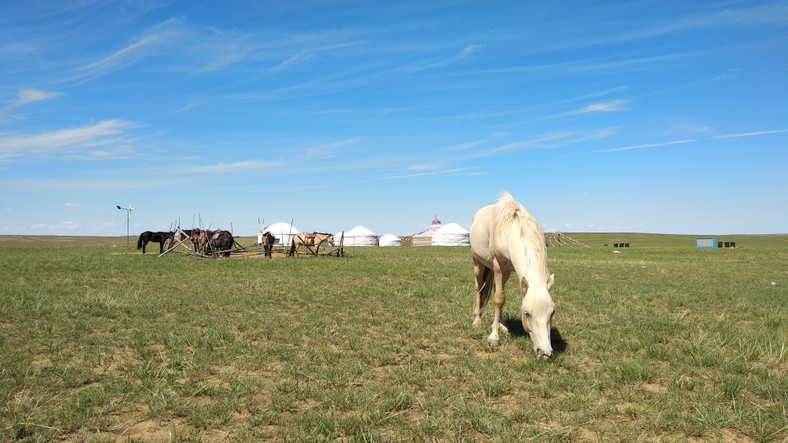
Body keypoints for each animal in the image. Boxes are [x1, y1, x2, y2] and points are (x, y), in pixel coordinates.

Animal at [470, 193, 556, 360]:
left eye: (552, 312)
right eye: (527, 313)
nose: (544, 352)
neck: (510, 229)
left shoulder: (507, 270)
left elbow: (501, 298)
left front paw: (499, 326)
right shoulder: (498, 265)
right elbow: (498, 299)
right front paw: (494, 338)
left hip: (504, 273)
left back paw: (501, 324)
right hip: (478, 263)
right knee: (478, 287)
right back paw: (477, 320)